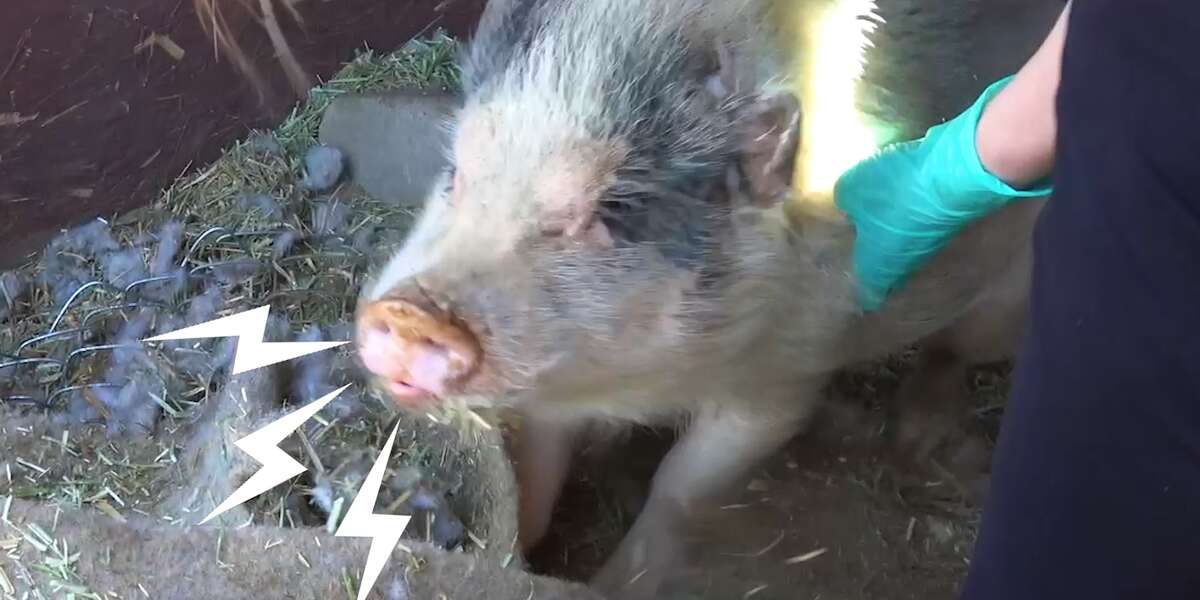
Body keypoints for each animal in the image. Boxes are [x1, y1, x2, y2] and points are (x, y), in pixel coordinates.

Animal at [354, 0, 1046, 596]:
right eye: (457, 173)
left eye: (612, 211)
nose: (409, 313)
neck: (638, 386)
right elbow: (542, 460)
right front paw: (528, 549)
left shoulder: (786, 379)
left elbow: (681, 488)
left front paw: (610, 586)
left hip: (1005, 301)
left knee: (952, 354)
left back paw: (916, 437)